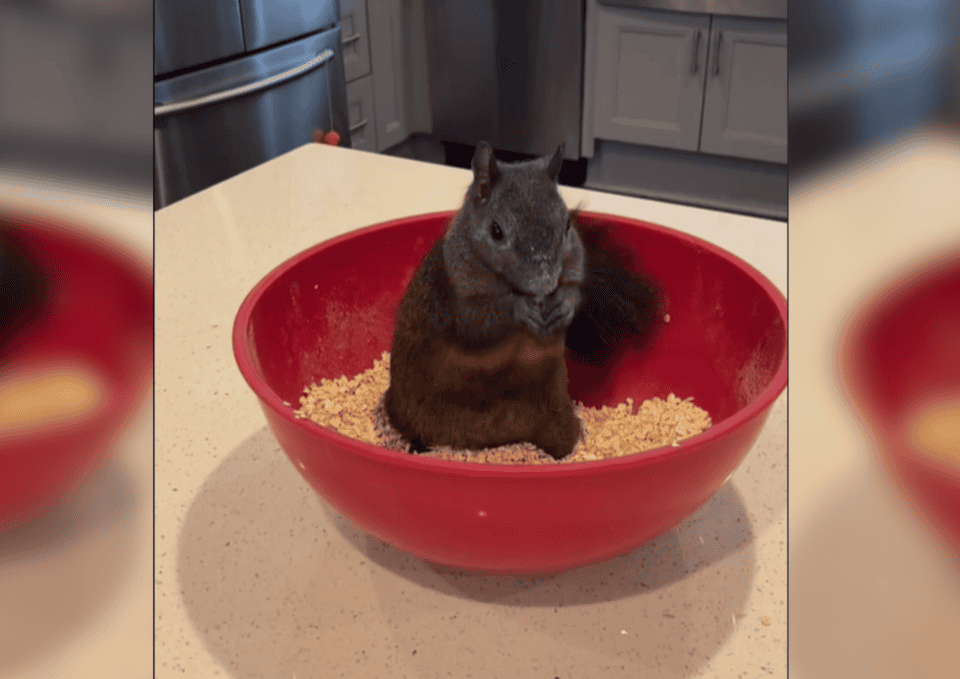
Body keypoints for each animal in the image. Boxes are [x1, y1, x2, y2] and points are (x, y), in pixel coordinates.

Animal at [383, 141, 661, 460]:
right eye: (496, 230)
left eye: (567, 225)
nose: (546, 285)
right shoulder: (452, 294)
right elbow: (474, 324)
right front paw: (521, 309)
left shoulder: (575, 261)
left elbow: (574, 290)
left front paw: (564, 304)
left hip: (553, 410)